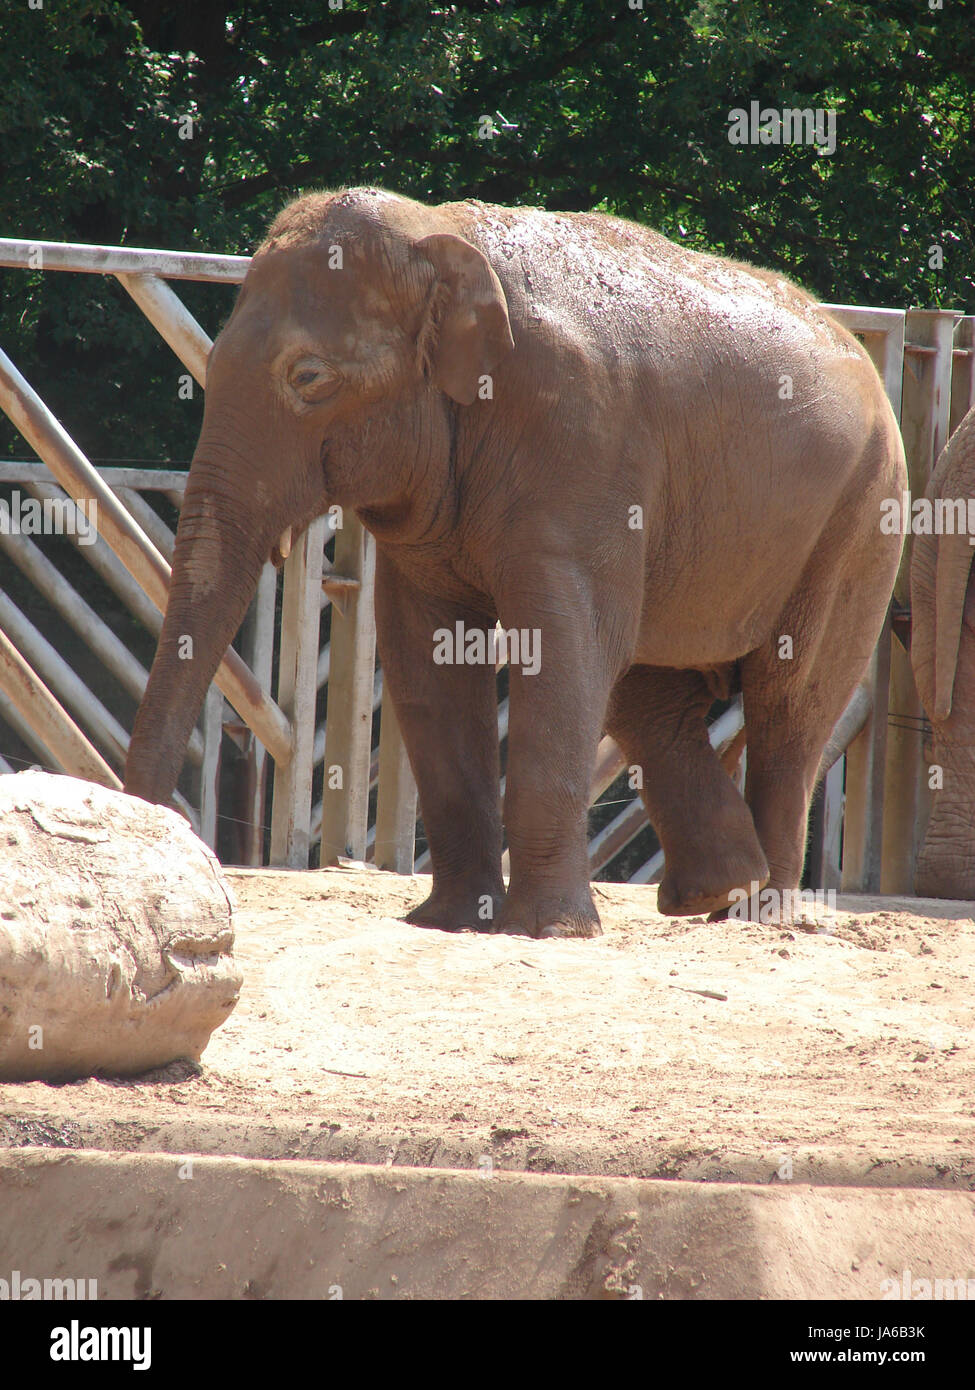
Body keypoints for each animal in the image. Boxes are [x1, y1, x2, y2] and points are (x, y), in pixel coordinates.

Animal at [124, 187, 906, 937]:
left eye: (308, 377)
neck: (439, 233)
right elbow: (427, 653)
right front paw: (450, 920)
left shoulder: (582, 443)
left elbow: (561, 643)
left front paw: (548, 930)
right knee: (652, 698)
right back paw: (714, 894)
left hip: (862, 517)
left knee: (791, 701)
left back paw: (760, 916)